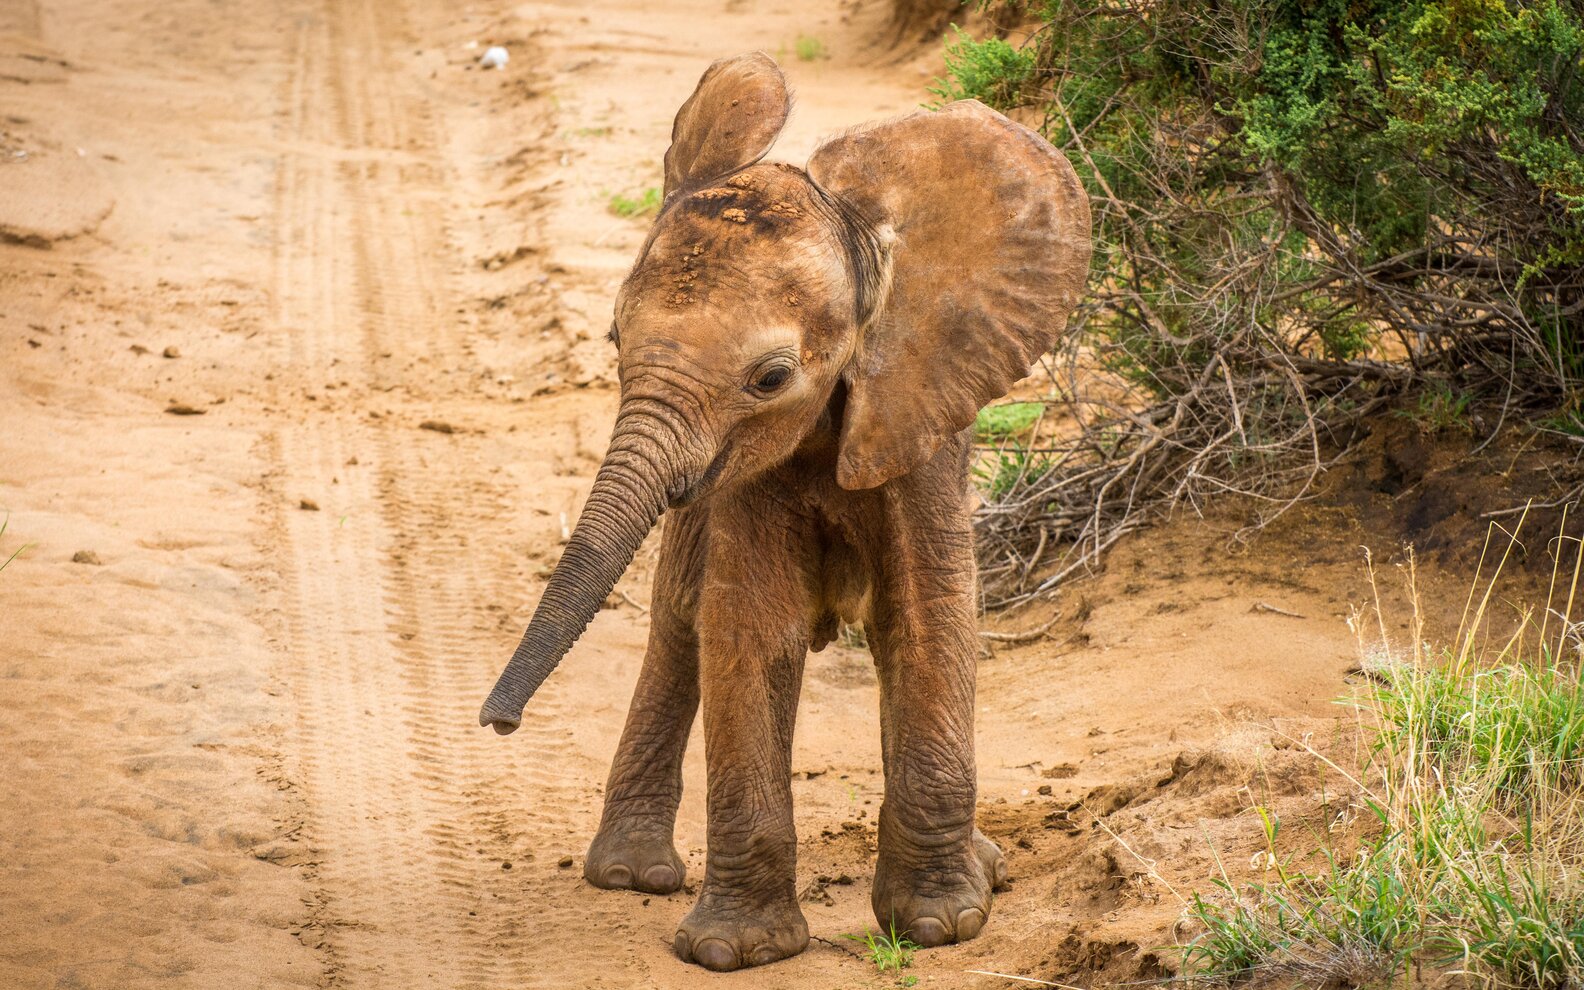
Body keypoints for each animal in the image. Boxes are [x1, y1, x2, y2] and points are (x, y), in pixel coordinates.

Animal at [480, 51, 1091, 972]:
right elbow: (747, 626)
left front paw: (940, 925)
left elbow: (929, 615)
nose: (498, 722)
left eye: (770, 377)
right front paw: (734, 951)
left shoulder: (920, 418)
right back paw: (629, 875)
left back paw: (986, 869)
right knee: (679, 618)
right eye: (616, 342)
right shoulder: (739, 477)